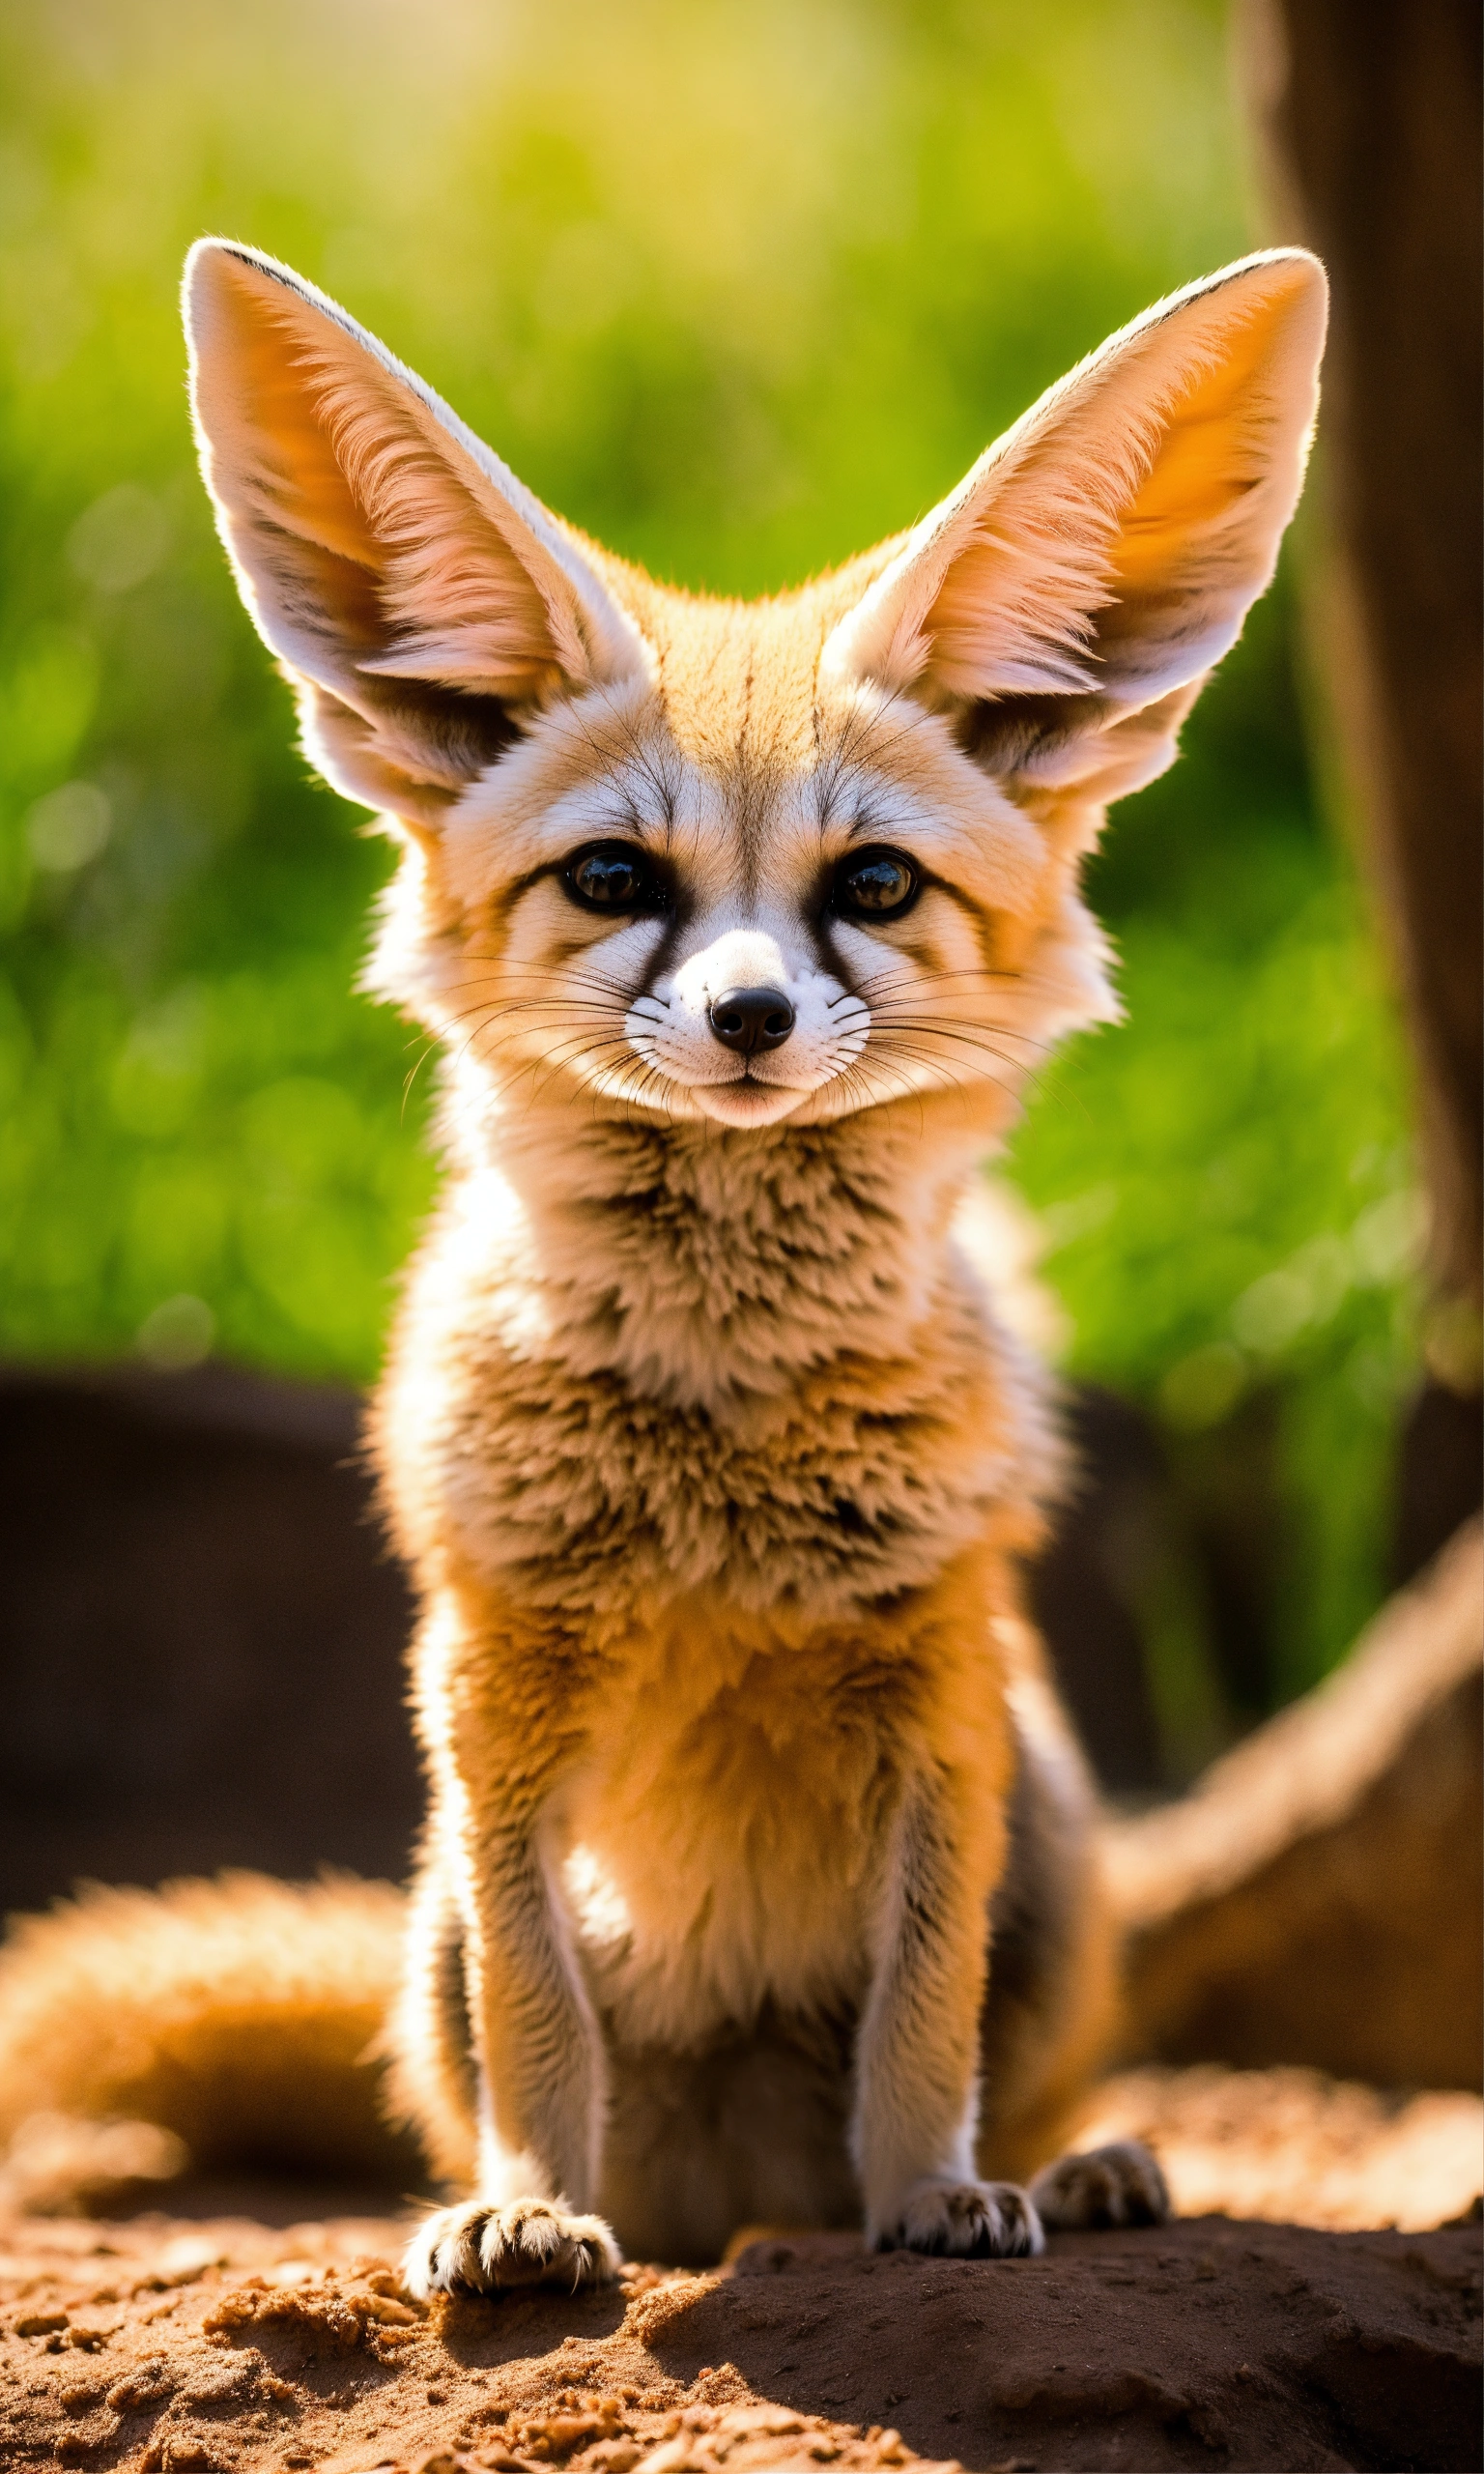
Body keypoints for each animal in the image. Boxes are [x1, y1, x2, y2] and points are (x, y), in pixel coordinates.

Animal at [0, 241, 1325, 2290]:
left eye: (873, 889)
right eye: (617, 880)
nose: (752, 1018)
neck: (717, 1439)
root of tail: (738, 2193)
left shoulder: (941, 1680)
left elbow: (923, 2023)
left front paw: (939, 2201)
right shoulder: (490, 1691)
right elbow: (542, 2026)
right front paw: (533, 2214)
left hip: (1059, 1832)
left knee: (1001, 2079)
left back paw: (1078, 2171)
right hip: (434, 1919)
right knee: (489, 2085)